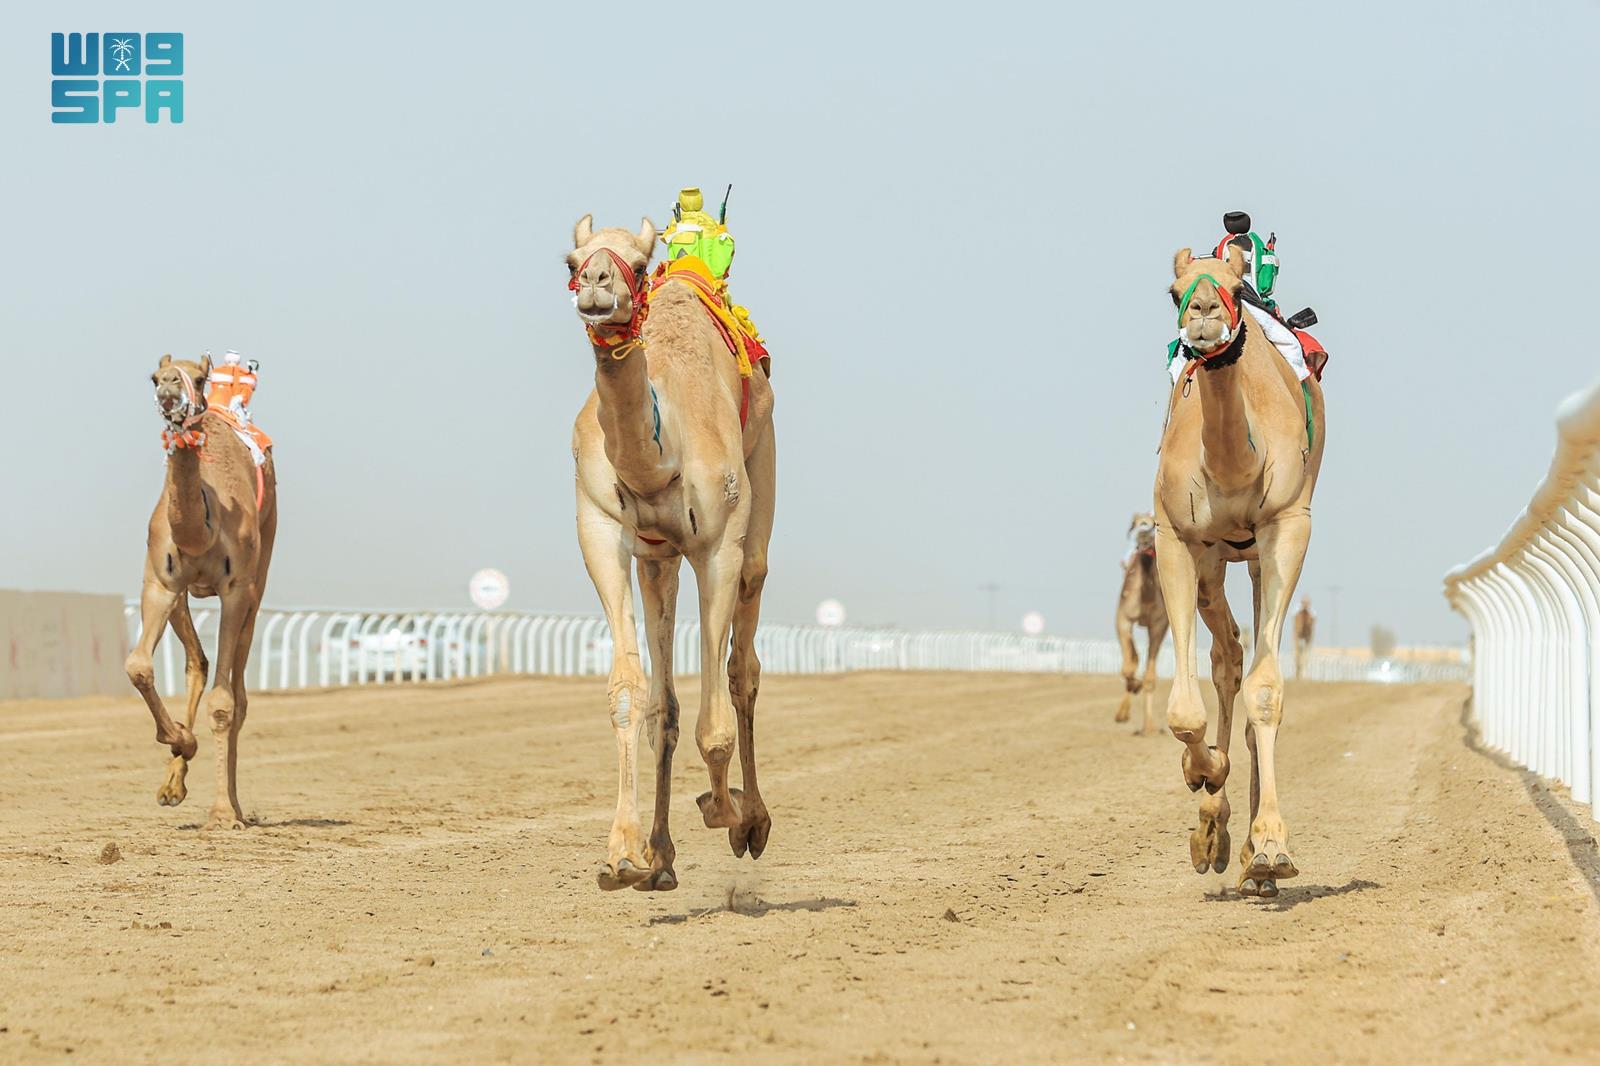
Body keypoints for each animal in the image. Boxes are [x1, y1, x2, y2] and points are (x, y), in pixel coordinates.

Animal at [125, 355, 277, 830]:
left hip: (258, 579)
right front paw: (178, 741)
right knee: (199, 662)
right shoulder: (161, 583)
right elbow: (138, 666)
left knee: (238, 692)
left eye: (199, 377)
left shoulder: (237, 590)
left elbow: (225, 703)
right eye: (155, 377)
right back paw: (174, 782)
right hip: (183, 597)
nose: (170, 387)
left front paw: (223, 814)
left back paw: (236, 807)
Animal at [566, 214, 775, 892]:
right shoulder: (599, 527)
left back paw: (751, 821)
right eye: (572, 257)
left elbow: (717, 720)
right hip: (658, 560)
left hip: (761, 469)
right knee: (668, 701)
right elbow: (632, 691)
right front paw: (624, 853)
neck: (662, 457)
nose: (597, 285)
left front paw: (724, 811)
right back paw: (661, 856)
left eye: (637, 260)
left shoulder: (719, 543)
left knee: (742, 664)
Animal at [1154, 245, 1324, 898]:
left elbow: (1268, 691)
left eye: (1233, 284)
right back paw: (1214, 827)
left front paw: (1272, 848)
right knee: (1226, 655)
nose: (1203, 310)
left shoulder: (1287, 527)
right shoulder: (1176, 537)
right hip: (1213, 561)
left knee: (1244, 665)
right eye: (1172, 288)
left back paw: (1251, 853)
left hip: (1254, 558)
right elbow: (1185, 710)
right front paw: (1204, 774)